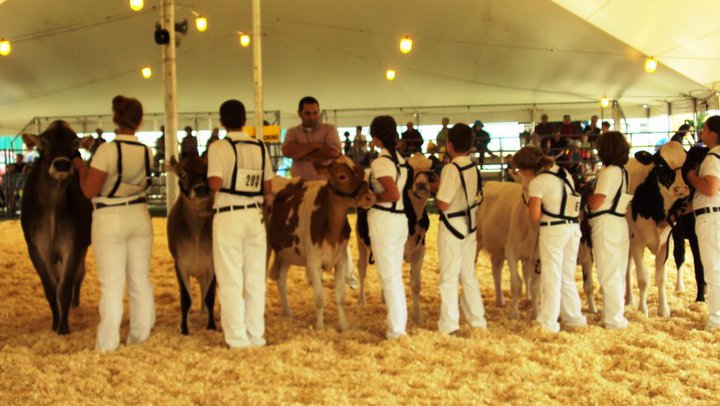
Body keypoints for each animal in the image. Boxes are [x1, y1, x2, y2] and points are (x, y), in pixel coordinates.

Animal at [20, 121, 93, 335]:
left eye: (75, 141)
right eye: (44, 141)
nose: (62, 164)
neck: (52, 205)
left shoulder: (73, 245)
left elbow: (65, 286)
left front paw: (63, 326)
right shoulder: (36, 249)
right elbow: (51, 289)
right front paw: (54, 322)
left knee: (79, 274)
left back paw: (74, 304)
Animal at [166, 154, 216, 335]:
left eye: (208, 170)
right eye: (182, 174)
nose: (201, 189)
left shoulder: (212, 264)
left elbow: (210, 297)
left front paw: (211, 326)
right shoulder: (179, 265)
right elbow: (186, 299)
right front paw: (184, 329)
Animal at [266, 156, 375, 331]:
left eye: (360, 172)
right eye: (342, 176)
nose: (370, 197)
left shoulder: (341, 260)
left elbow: (340, 296)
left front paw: (343, 326)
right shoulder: (313, 261)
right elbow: (319, 297)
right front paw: (319, 327)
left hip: (286, 252)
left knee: (281, 279)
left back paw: (287, 312)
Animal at [355, 153, 433, 324]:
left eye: (430, 168)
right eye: (410, 169)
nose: (422, 184)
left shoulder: (420, 250)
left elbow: (416, 284)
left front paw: (419, 316)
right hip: (361, 242)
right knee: (362, 269)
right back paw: (362, 301)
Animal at [626, 141, 689, 317]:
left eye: (687, 163)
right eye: (660, 164)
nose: (681, 189)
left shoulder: (664, 243)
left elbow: (661, 278)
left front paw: (663, 310)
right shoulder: (637, 240)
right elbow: (643, 279)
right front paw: (642, 310)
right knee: (627, 269)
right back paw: (629, 300)